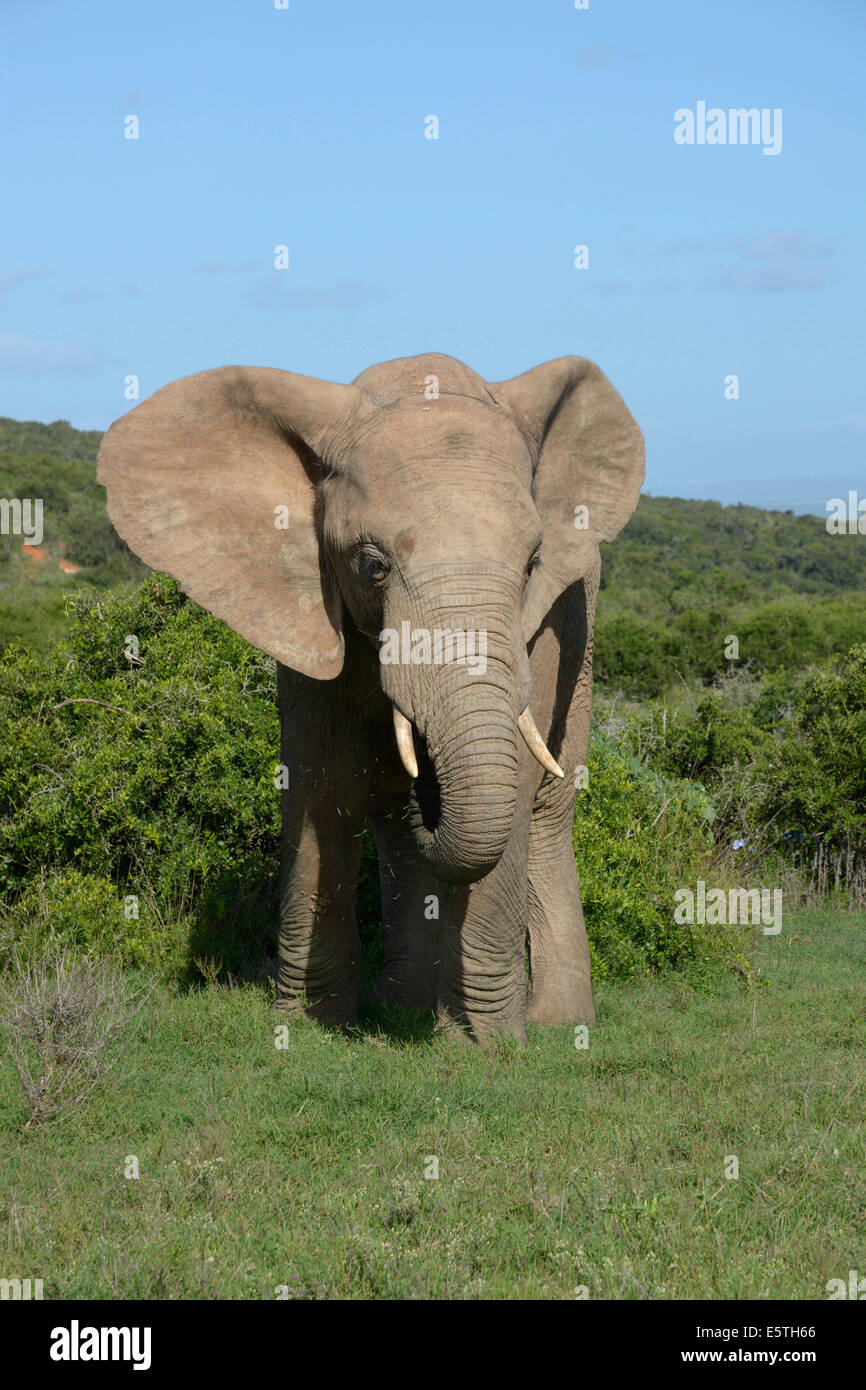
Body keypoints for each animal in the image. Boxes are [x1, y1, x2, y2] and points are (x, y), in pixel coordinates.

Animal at [97, 352, 644, 1043]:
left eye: (531, 563)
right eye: (370, 565)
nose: (431, 791)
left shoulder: (543, 621)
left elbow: (517, 777)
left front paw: (486, 1047)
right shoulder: (304, 600)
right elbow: (323, 782)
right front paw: (305, 1027)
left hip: (586, 627)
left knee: (547, 811)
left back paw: (554, 1022)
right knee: (392, 814)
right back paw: (403, 1005)